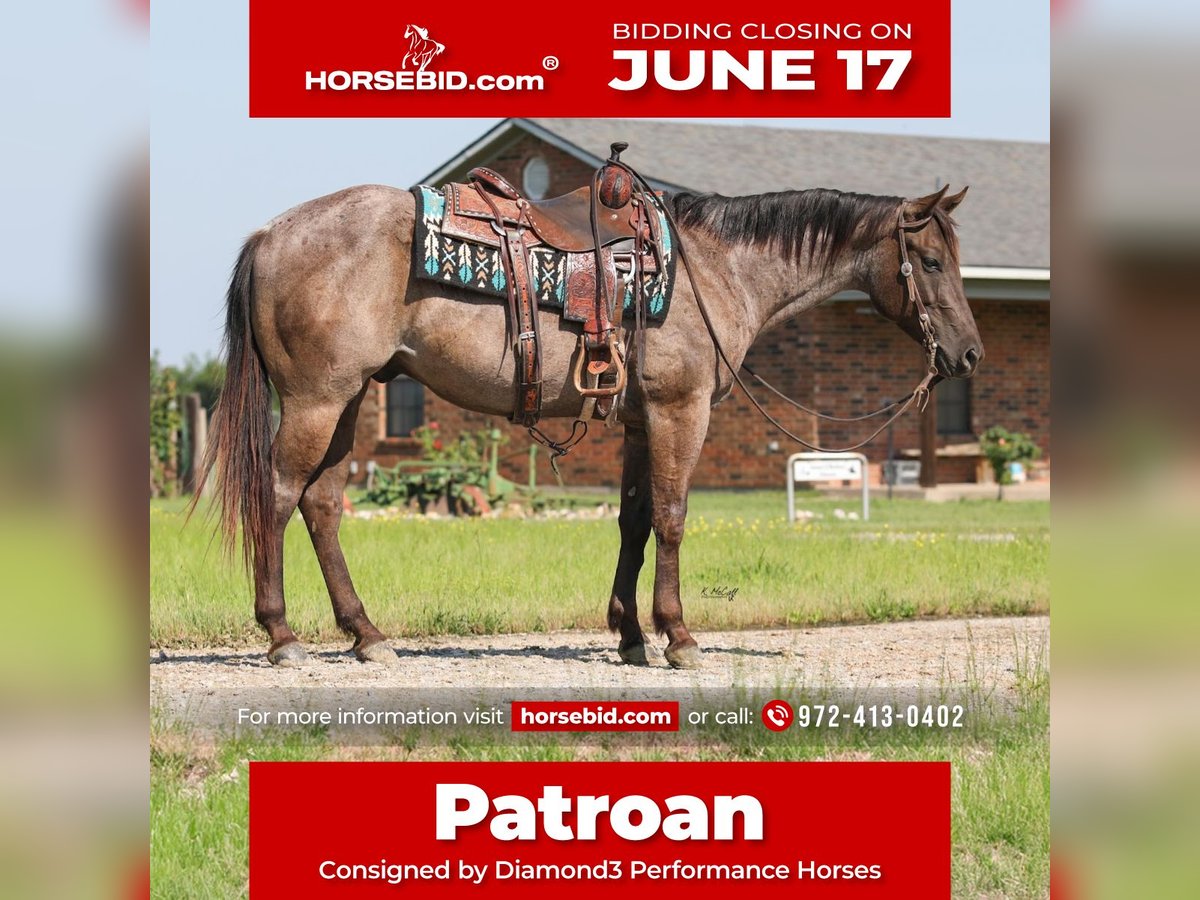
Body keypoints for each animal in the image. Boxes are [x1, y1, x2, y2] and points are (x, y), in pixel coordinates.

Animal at [196, 179, 981, 669]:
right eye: (929, 260)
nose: (968, 353)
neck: (715, 269)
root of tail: (269, 234)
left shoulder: (638, 423)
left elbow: (633, 521)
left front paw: (630, 634)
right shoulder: (679, 411)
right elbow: (671, 517)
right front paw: (678, 636)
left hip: (351, 398)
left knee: (323, 504)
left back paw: (366, 635)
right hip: (316, 398)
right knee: (279, 496)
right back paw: (281, 635)